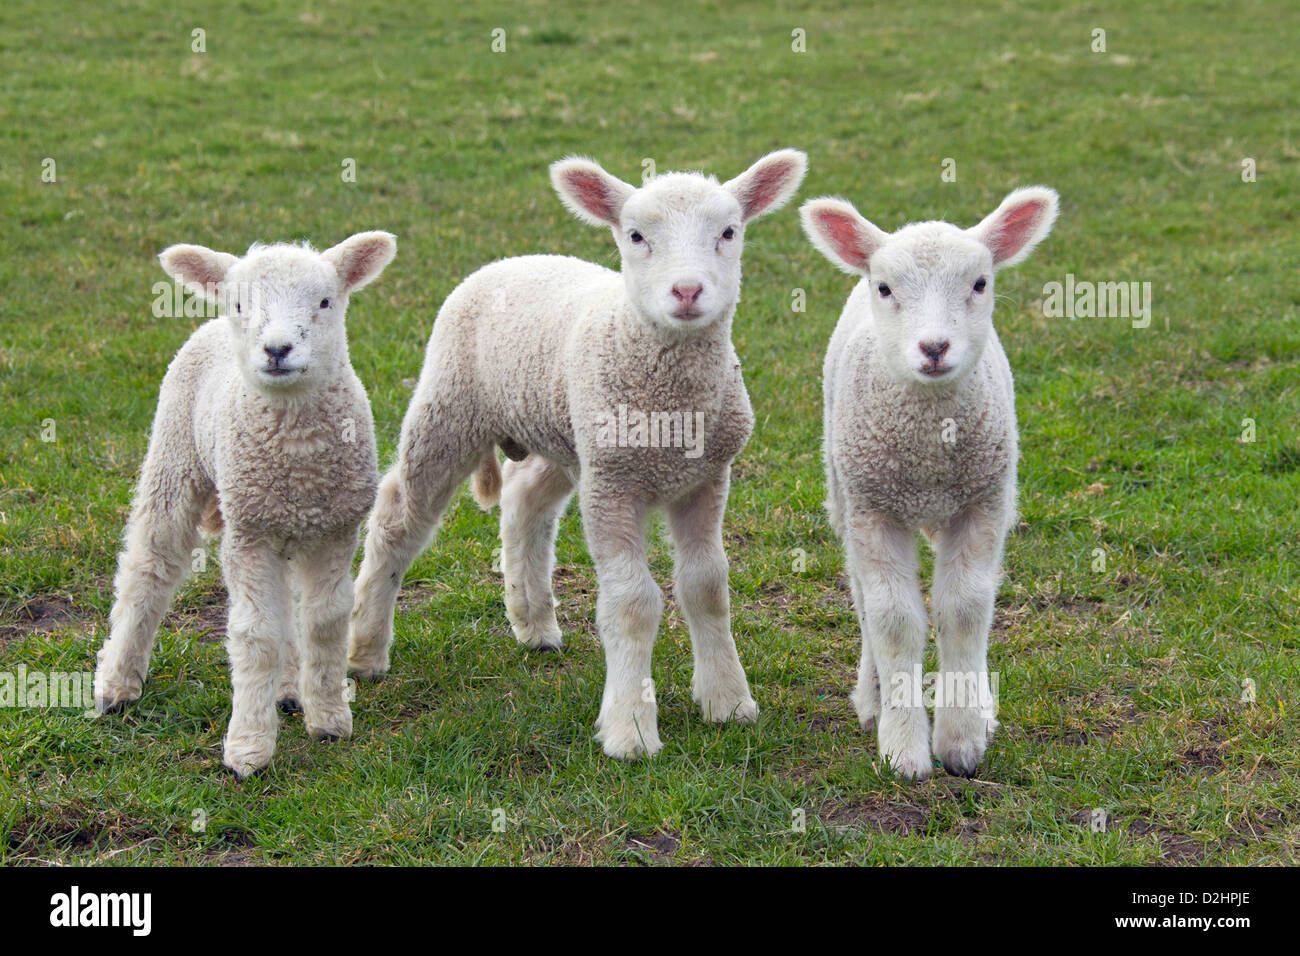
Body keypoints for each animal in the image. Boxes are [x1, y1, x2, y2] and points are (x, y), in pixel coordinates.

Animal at [92, 231, 397, 778]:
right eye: (240, 304)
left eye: (325, 301)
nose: (277, 349)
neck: (297, 456)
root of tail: (209, 324)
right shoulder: (248, 534)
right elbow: (256, 636)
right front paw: (249, 749)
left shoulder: (335, 530)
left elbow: (324, 622)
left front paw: (329, 719)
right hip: (175, 459)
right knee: (149, 567)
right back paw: (117, 685)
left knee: (288, 605)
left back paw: (289, 690)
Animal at [347, 150, 807, 759]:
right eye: (636, 235)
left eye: (729, 232)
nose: (687, 292)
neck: (670, 406)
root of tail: (516, 258)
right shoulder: (612, 481)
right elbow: (632, 602)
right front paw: (631, 729)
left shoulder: (706, 477)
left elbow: (707, 586)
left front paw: (728, 701)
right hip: (449, 408)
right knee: (397, 519)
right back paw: (366, 651)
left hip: (564, 438)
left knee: (524, 502)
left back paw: (533, 624)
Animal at [800, 187, 1059, 779]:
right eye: (886, 288)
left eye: (980, 283)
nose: (935, 347)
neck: (927, 453)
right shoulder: (873, 507)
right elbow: (894, 619)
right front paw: (903, 749)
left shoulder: (982, 503)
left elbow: (964, 609)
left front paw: (962, 739)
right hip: (844, 492)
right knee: (862, 596)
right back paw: (872, 699)